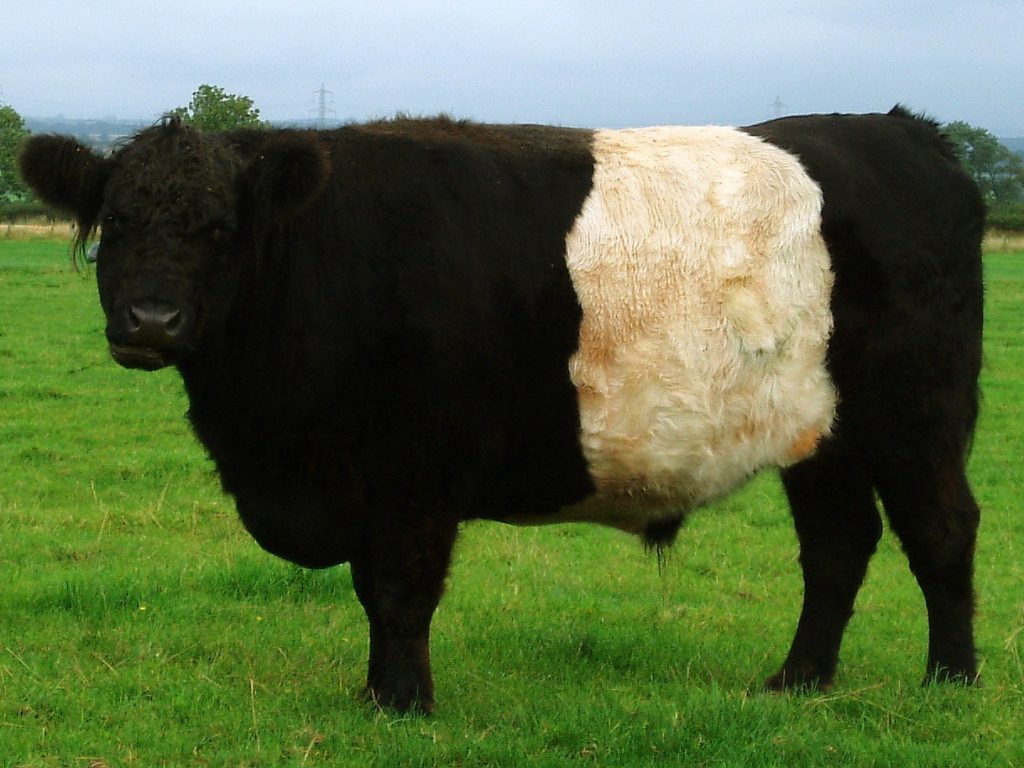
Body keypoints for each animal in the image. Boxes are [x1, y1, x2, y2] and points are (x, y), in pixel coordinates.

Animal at [18, 106, 985, 714]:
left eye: (222, 229)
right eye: (115, 221)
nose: (151, 320)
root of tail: (904, 129)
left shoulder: (413, 467)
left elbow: (398, 588)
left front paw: (399, 705)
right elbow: (376, 590)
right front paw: (379, 692)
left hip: (915, 416)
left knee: (941, 530)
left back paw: (950, 681)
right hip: (820, 434)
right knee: (837, 545)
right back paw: (799, 681)